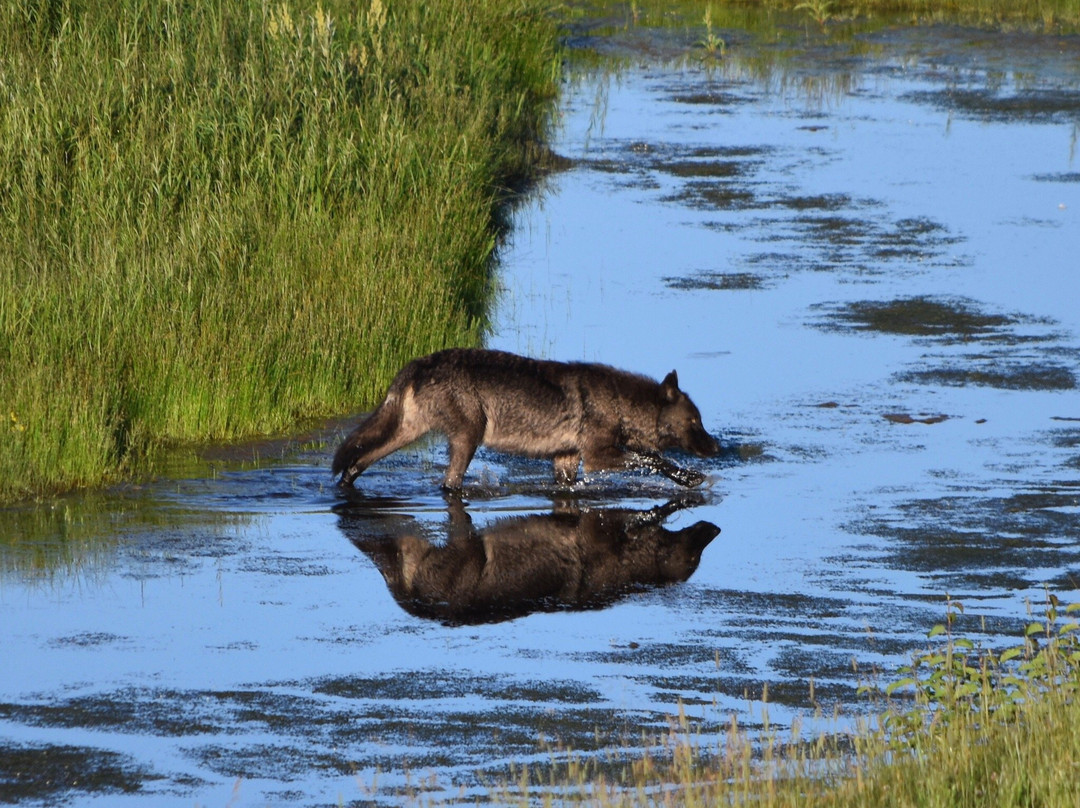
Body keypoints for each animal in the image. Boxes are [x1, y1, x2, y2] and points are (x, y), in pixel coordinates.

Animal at [332, 348, 721, 489]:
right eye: (695, 422)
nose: (717, 447)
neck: (619, 404)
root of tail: (416, 363)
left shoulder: (566, 460)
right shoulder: (597, 457)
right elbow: (653, 459)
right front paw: (689, 478)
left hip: (408, 432)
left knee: (358, 458)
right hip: (468, 439)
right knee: (448, 484)